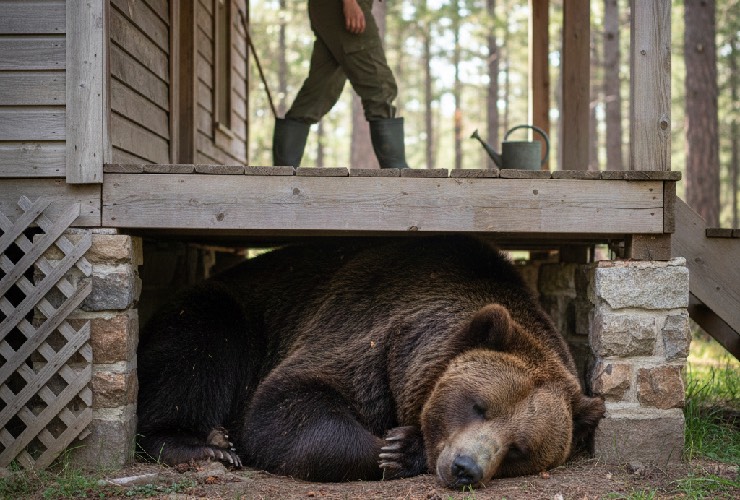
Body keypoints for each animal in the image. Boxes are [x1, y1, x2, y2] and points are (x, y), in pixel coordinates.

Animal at [136, 235, 605, 488]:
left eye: (519, 449)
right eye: (479, 405)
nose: (465, 467)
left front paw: (405, 447)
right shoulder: (368, 335)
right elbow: (286, 403)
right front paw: (387, 447)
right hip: (229, 313)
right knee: (196, 349)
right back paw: (206, 446)